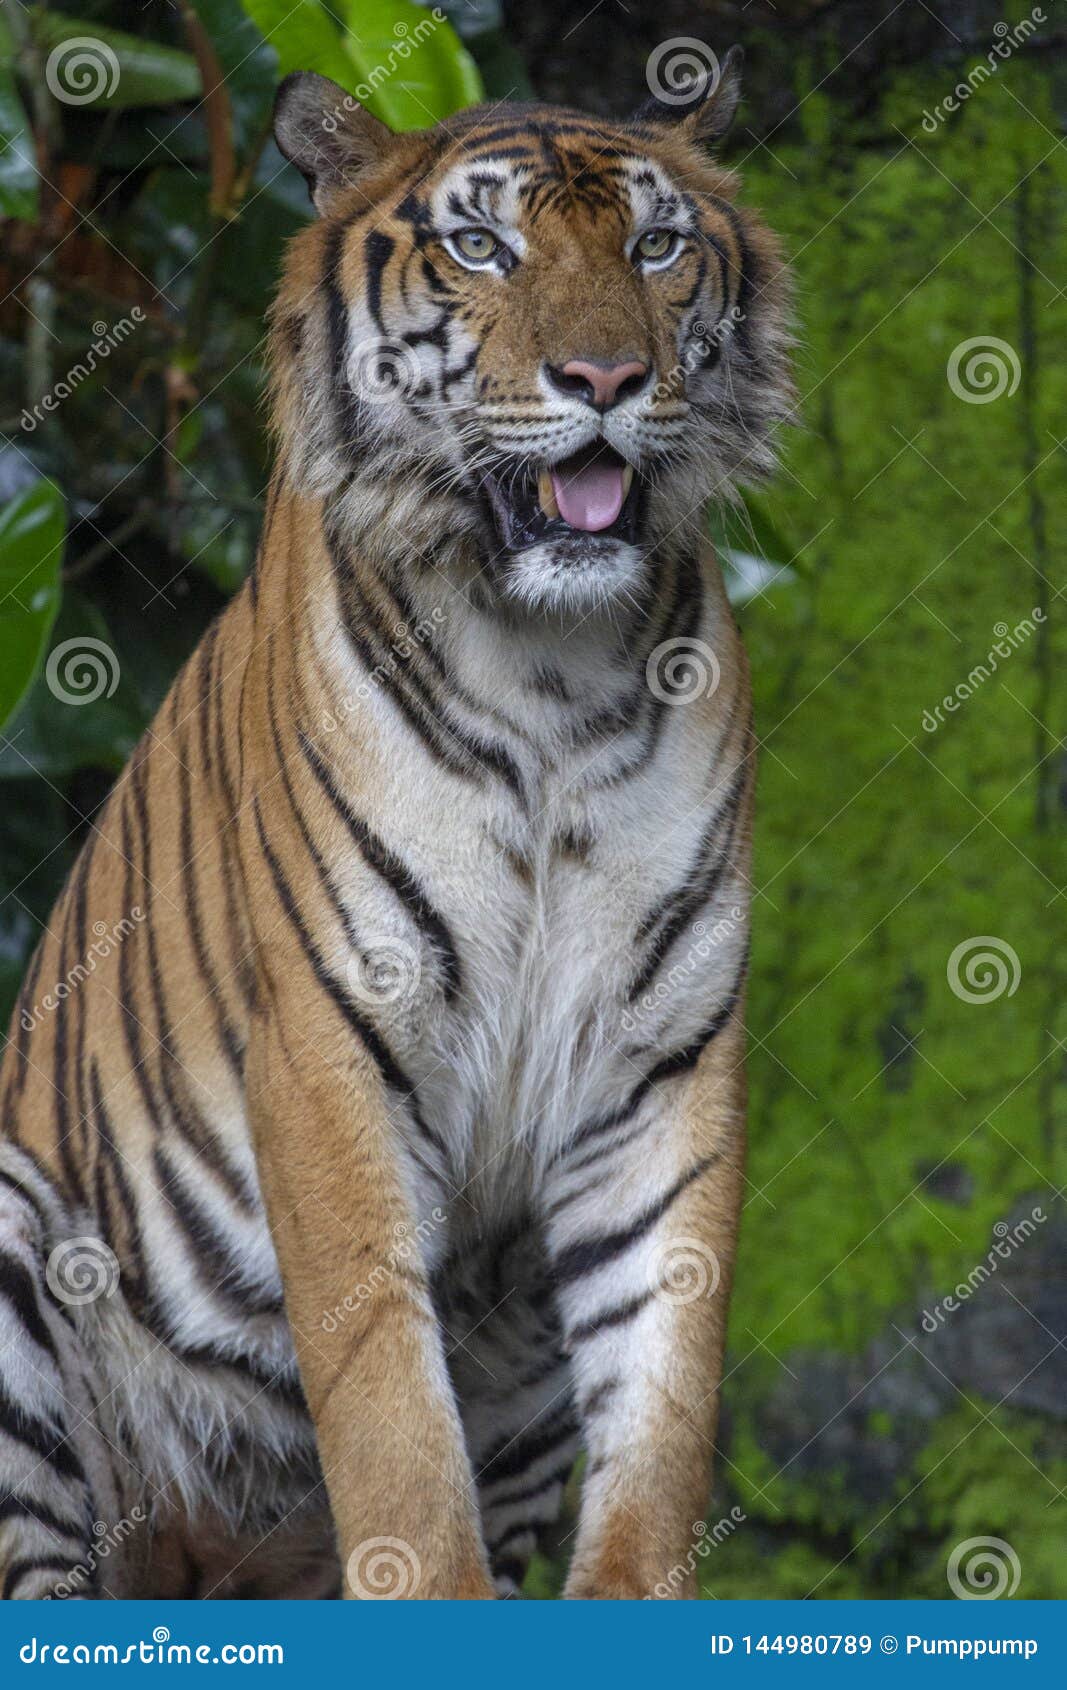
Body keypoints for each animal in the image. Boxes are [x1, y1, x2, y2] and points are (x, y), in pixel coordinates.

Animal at [0, 48, 791, 1600]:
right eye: (481, 249)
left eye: (654, 247)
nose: (604, 378)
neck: (555, 670)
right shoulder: (331, 1041)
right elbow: (394, 1436)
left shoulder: (660, 1064)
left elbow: (659, 1418)